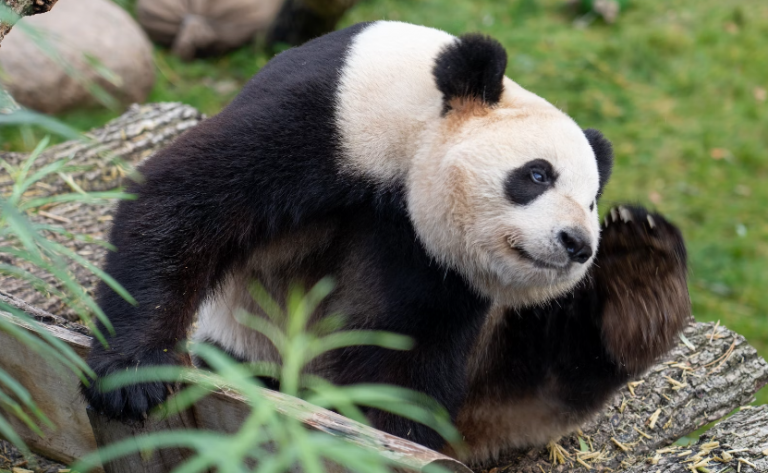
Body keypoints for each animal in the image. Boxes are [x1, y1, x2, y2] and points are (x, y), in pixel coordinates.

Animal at [82, 21, 691, 464]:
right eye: (538, 174)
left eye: (590, 201)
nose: (576, 243)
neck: (414, 134)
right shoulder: (328, 118)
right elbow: (186, 199)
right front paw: (133, 378)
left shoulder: (437, 266)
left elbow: (405, 352)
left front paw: (385, 438)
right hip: (245, 340)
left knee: (554, 363)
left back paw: (642, 265)